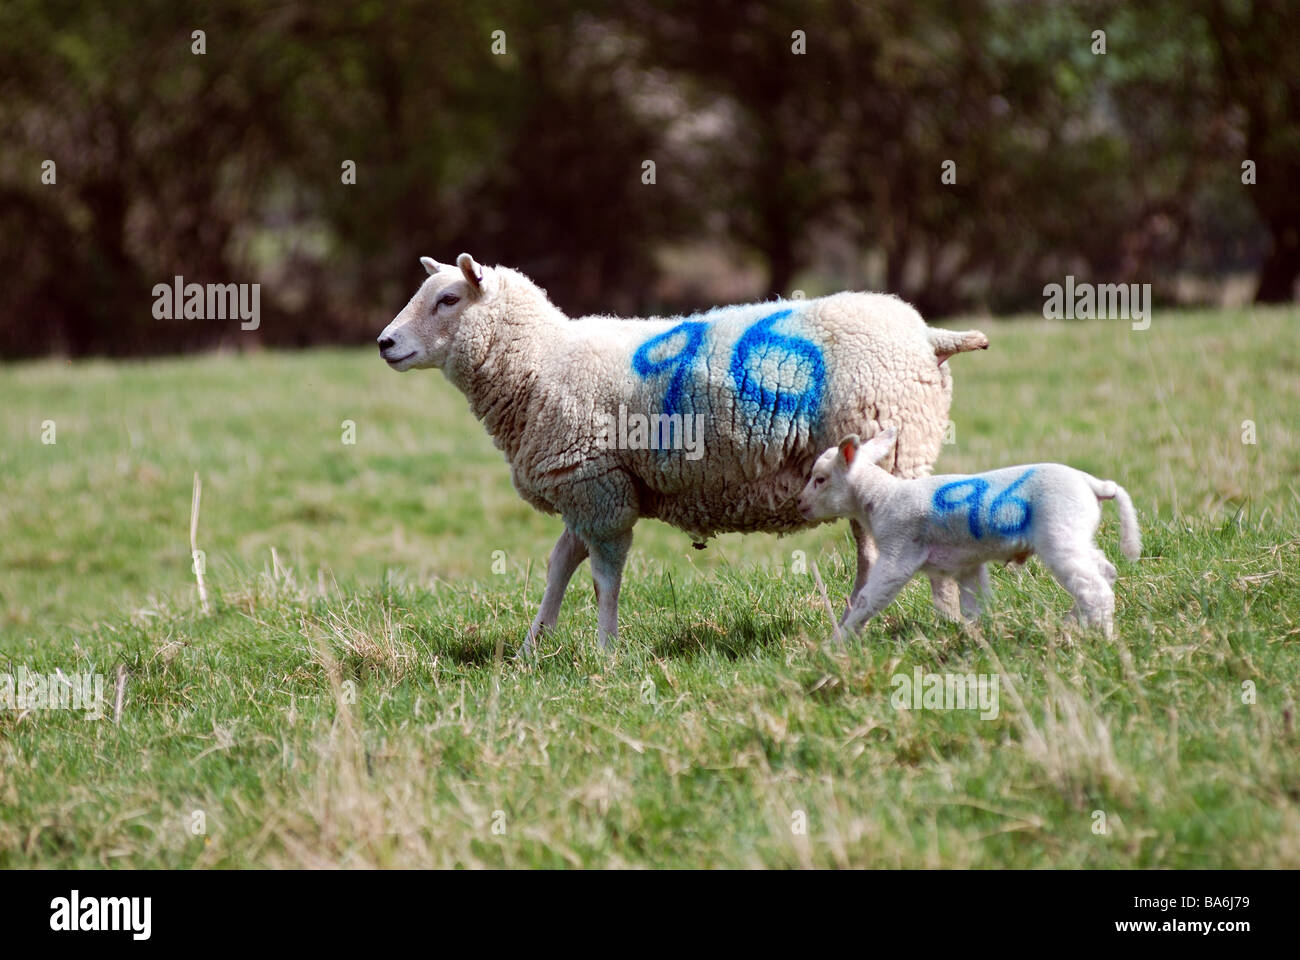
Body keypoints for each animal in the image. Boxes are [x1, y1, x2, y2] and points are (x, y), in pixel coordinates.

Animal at [376, 253, 989, 651]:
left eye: (449, 299)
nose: (384, 343)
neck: (540, 362)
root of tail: (931, 337)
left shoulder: (598, 491)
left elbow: (603, 575)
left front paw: (604, 651)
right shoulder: (589, 484)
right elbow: (559, 564)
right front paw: (534, 644)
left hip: (896, 450)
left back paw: (939, 624)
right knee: (871, 554)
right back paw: (850, 627)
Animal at [797, 426, 1142, 638]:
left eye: (820, 479)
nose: (800, 505)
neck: (881, 498)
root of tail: (1093, 484)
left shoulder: (898, 551)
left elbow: (868, 599)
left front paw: (837, 643)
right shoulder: (967, 566)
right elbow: (975, 605)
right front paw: (976, 635)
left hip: (1060, 534)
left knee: (1094, 589)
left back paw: (1103, 637)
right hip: (1078, 532)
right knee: (1104, 571)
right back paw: (1073, 623)